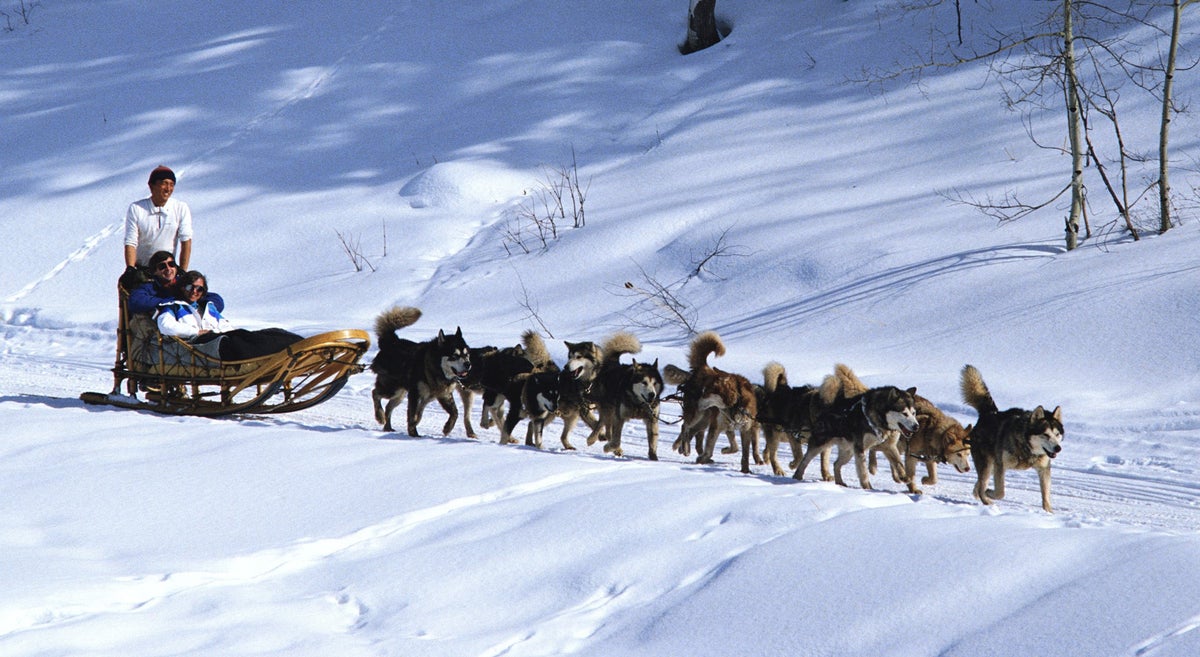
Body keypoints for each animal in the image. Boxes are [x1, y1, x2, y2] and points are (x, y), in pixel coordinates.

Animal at [369, 306, 471, 437]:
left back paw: (388, 427)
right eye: (455, 355)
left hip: (400, 394)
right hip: (391, 388)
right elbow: (413, 415)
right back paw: (380, 416)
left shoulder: (443, 395)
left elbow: (454, 412)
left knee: (389, 406)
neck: (436, 370)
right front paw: (414, 433)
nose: (468, 364)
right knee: (375, 393)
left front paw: (447, 428)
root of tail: (392, 341)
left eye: (466, 354)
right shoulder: (415, 394)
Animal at [585, 332, 663, 460]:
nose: (652, 395)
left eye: (655, 383)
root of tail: (613, 363)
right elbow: (616, 441)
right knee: (601, 424)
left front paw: (653, 457)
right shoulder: (619, 417)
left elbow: (653, 442)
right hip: (608, 408)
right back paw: (592, 439)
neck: (638, 404)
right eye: (644, 382)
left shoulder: (652, 419)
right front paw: (608, 448)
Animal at [960, 364, 1063, 512]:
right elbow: (1000, 492)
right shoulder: (1001, 465)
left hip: (990, 466)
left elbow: (1046, 496)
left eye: (1057, 434)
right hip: (988, 464)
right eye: (1045, 434)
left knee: (978, 485)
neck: (1026, 447)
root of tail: (990, 413)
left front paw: (1049, 513)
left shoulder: (1044, 469)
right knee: (981, 485)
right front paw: (990, 493)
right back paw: (986, 499)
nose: (1058, 448)